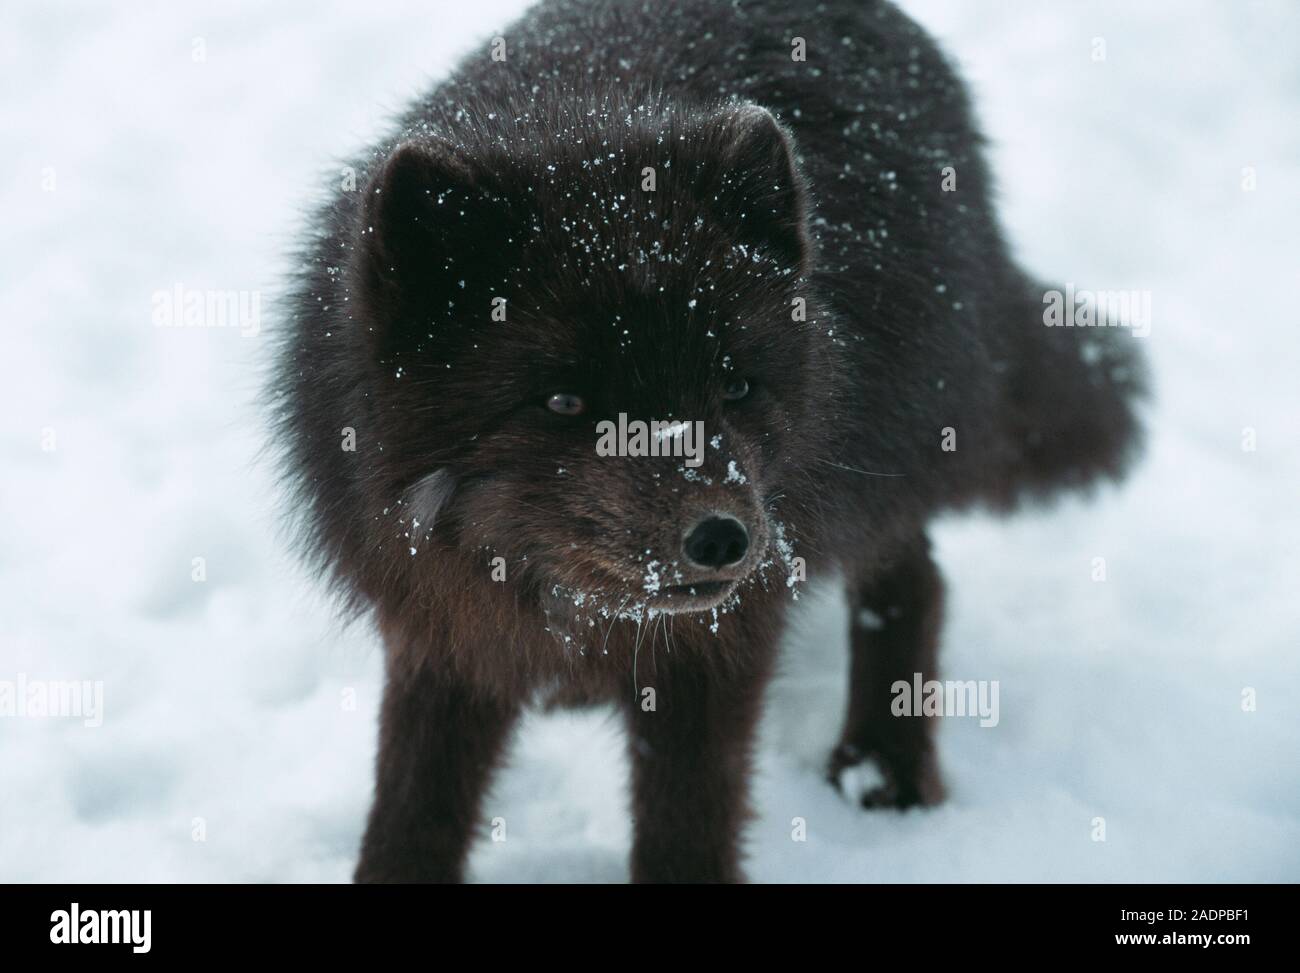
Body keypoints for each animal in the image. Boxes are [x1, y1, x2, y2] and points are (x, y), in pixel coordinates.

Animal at [273, 0, 1145, 883]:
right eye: (563, 400)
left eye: (733, 387)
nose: (724, 539)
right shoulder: (441, 629)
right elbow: (413, 804)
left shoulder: (718, 646)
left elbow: (687, 816)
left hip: (885, 457)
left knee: (916, 583)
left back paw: (885, 771)